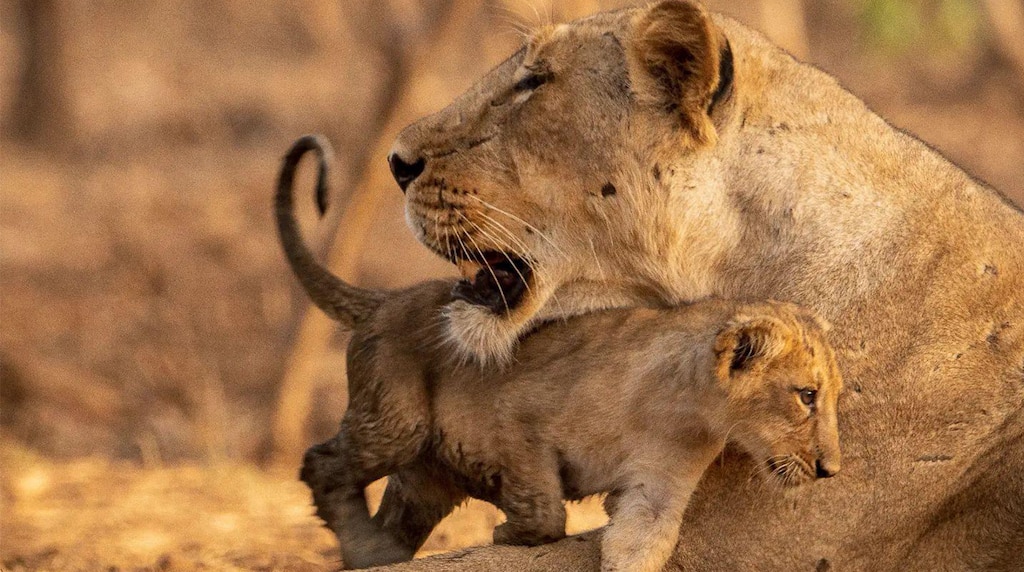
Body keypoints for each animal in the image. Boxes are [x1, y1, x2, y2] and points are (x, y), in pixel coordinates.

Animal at [278, 136, 842, 571]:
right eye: (806, 396)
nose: (831, 470)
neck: (687, 409)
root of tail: (387, 298)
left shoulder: (658, 488)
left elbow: (638, 546)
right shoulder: (515, 418)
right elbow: (544, 507)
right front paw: (510, 533)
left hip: (425, 476)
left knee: (397, 514)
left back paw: (377, 552)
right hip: (396, 423)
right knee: (321, 464)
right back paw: (360, 544)